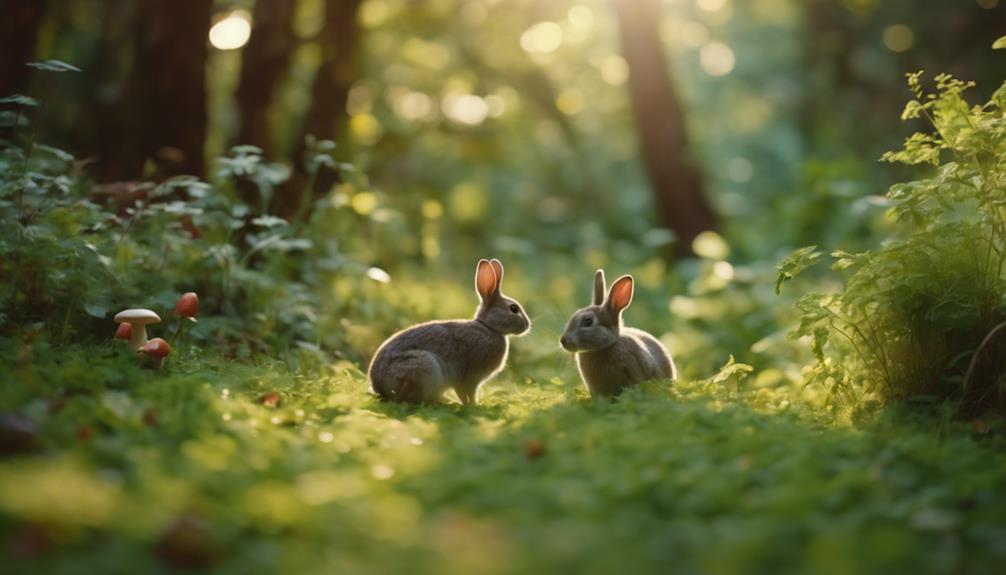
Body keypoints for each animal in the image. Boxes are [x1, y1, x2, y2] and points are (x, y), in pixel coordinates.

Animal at [368, 258, 531, 405]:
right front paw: (474, 406)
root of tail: (379, 387)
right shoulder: (470, 376)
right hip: (424, 367)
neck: (489, 327)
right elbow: (467, 393)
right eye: (513, 309)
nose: (527, 325)